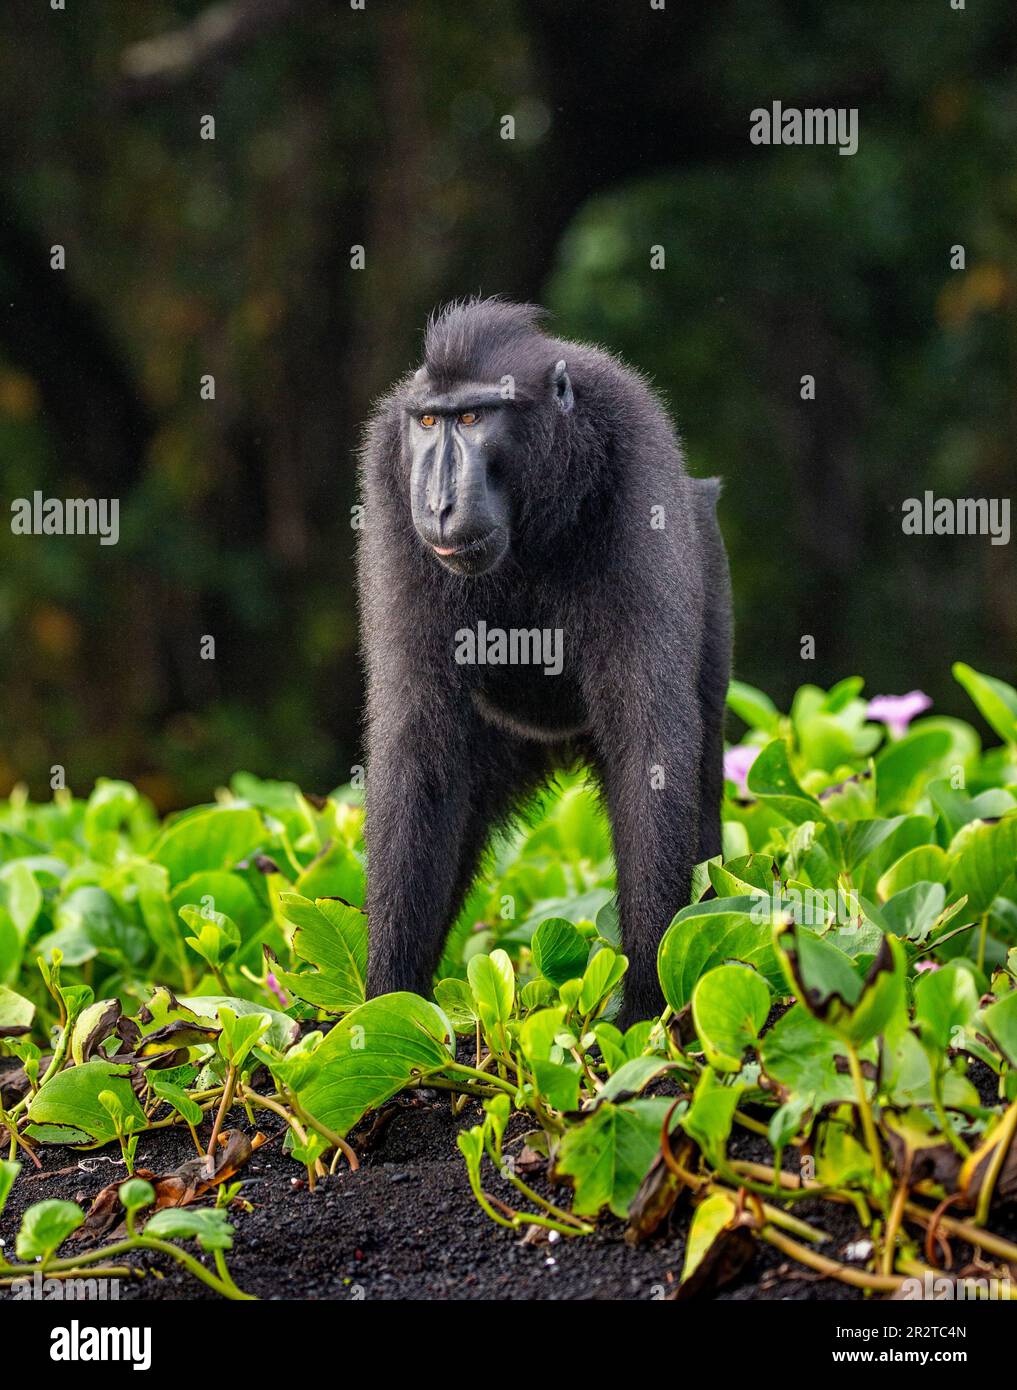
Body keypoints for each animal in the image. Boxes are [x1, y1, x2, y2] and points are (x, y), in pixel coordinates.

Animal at [357, 299, 732, 1025]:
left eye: (474, 418)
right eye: (428, 422)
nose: (438, 503)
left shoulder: (635, 458)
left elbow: (650, 741)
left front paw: (645, 1011)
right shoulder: (388, 489)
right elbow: (418, 741)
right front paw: (382, 1007)